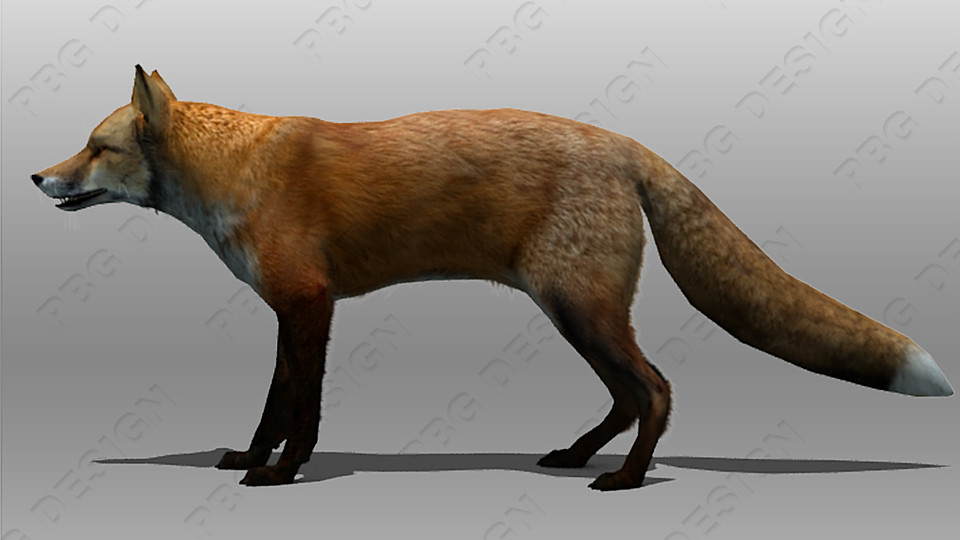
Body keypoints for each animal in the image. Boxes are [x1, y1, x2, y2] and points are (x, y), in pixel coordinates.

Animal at [33, 66, 953, 491]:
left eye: (96, 147)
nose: (39, 178)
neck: (235, 174)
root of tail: (626, 145)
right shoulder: (289, 311)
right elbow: (274, 400)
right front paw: (249, 459)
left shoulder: (308, 303)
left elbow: (301, 407)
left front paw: (280, 473)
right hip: (573, 311)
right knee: (628, 396)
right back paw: (574, 456)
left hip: (580, 308)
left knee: (654, 390)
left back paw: (624, 480)